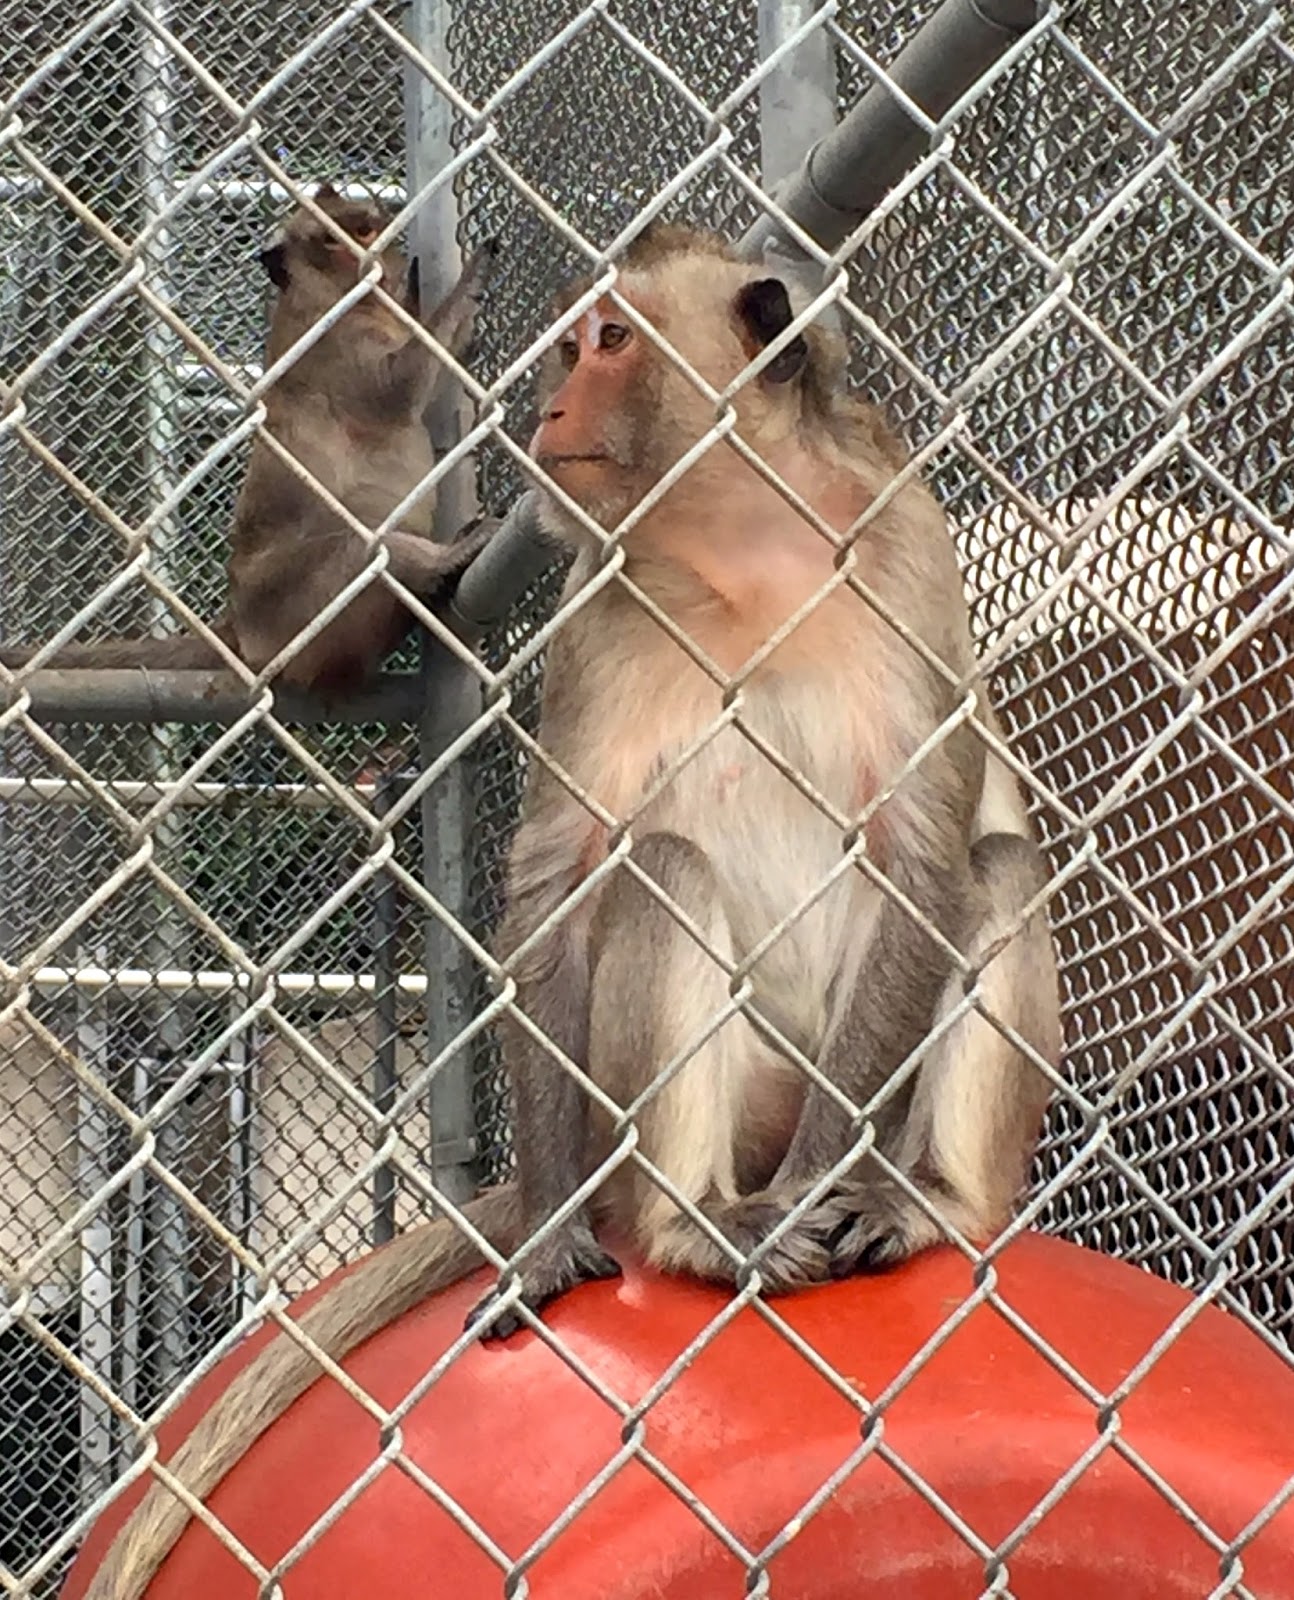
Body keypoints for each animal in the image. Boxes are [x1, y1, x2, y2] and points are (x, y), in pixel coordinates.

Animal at [0, 185, 495, 697]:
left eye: (369, 219)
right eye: (350, 234)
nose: (387, 245)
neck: (340, 300)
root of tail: (236, 629)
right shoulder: (351, 359)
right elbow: (409, 375)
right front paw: (469, 276)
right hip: (326, 575)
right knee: (382, 554)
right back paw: (453, 555)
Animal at [72, 225, 1062, 1600]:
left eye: (610, 343)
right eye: (569, 345)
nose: (546, 404)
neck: (746, 547)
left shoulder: (910, 549)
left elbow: (925, 847)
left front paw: (829, 1188)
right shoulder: (599, 591)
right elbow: (557, 870)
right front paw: (546, 1237)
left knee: (999, 868)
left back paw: (927, 1204)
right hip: (648, 1112)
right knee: (668, 870)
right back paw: (695, 1228)